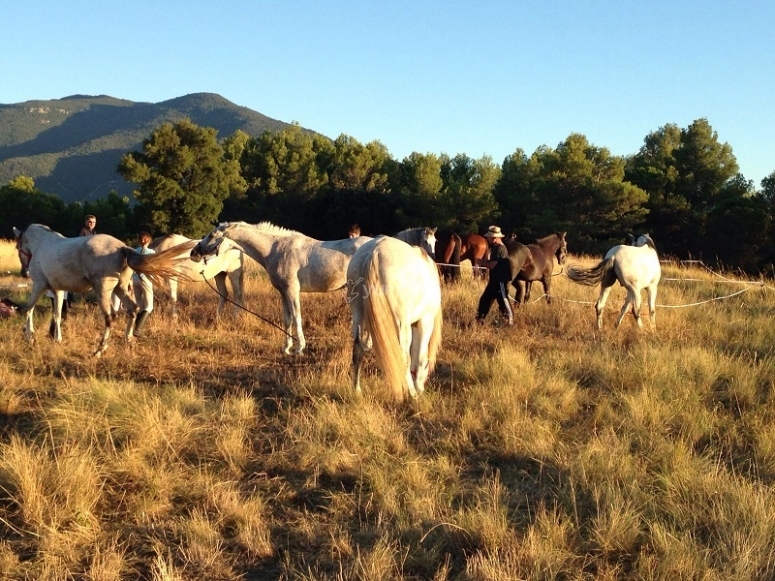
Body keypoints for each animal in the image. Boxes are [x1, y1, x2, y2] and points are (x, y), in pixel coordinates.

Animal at [13, 224, 191, 356]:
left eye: (17, 246)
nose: (24, 272)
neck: (41, 245)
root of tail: (122, 248)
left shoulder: (39, 286)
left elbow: (28, 309)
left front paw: (29, 336)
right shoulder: (58, 291)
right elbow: (57, 315)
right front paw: (57, 339)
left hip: (104, 292)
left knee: (110, 317)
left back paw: (100, 350)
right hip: (120, 288)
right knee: (133, 309)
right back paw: (128, 339)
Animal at [191, 221, 373, 354]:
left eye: (212, 235)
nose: (194, 253)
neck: (277, 249)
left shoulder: (292, 291)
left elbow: (297, 317)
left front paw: (300, 348)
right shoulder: (283, 293)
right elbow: (287, 319)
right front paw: (286, 348)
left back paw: (367, 345)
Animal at [347, 236, 443, 401]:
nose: (422, 388)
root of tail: (375, 251)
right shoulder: (425, 321)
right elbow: (420, 357)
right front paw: (417, 388)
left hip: (358, 314)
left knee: (357, 349)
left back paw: (356, 390)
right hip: (401, 323)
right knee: (403, 356)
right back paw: (411, 393)